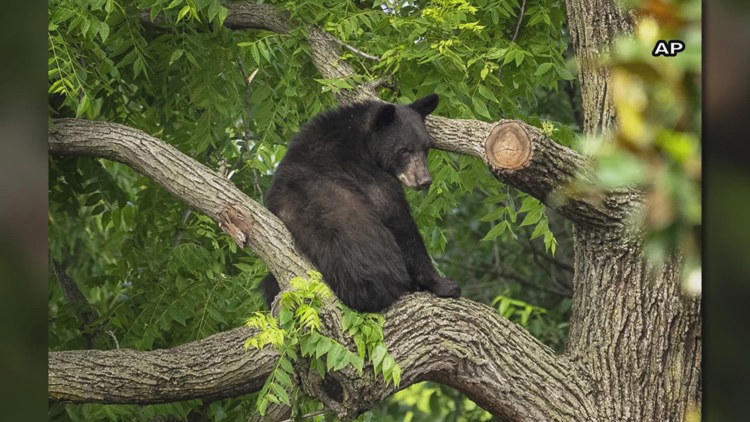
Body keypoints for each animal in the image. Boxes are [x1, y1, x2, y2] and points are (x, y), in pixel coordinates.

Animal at [260, 94, 461, 312]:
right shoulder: (371, 178)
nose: (424, 180)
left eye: (426, 148)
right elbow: (401, 225)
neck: (361, 142)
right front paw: (444, 285)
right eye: (404, 150)